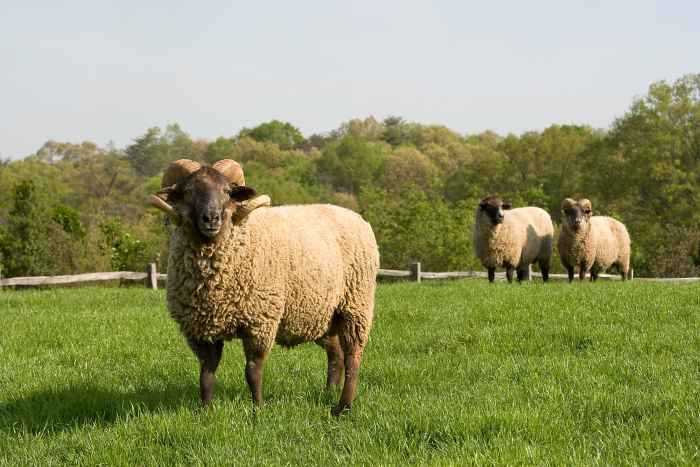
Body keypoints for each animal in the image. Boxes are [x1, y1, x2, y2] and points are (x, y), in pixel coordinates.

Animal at [148, 159, 379, 416]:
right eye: (188, 191)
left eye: (227, 191)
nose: (211, 218)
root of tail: (357, 216)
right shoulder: (200, 329)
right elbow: (206, 374)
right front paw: (206, 411)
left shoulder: (260, 320)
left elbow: (253, 371)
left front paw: (258, 409)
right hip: (321, 315)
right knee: (336, 354)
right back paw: (329, 392)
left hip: (355, 306)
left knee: (353, 357)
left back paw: (342, 407)